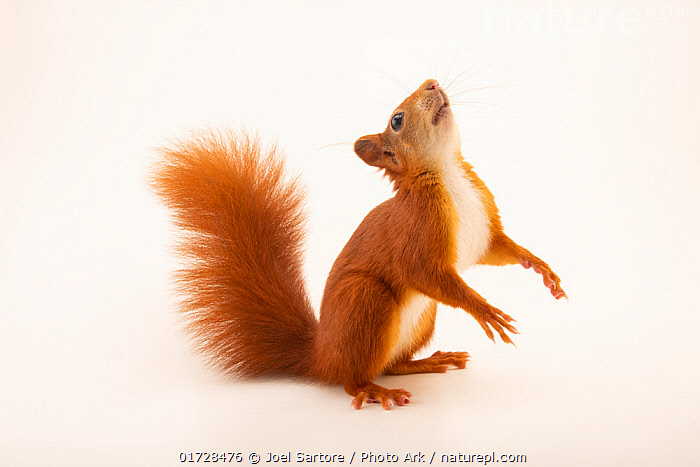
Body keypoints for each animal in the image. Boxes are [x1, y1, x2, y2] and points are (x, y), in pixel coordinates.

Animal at [151, 79, 566, 410]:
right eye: (397, 120)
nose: (432, 82)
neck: (446, 172)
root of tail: (321, 356)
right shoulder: (415, 235)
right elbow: (426, 273)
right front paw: (486, 311)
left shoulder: (484, 229)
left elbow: (502, 250)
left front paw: (542, 268)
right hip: (366, 300)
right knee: (353, 378)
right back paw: (375, 391)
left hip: (423, 316)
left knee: (392, 364)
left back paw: (429, 362)